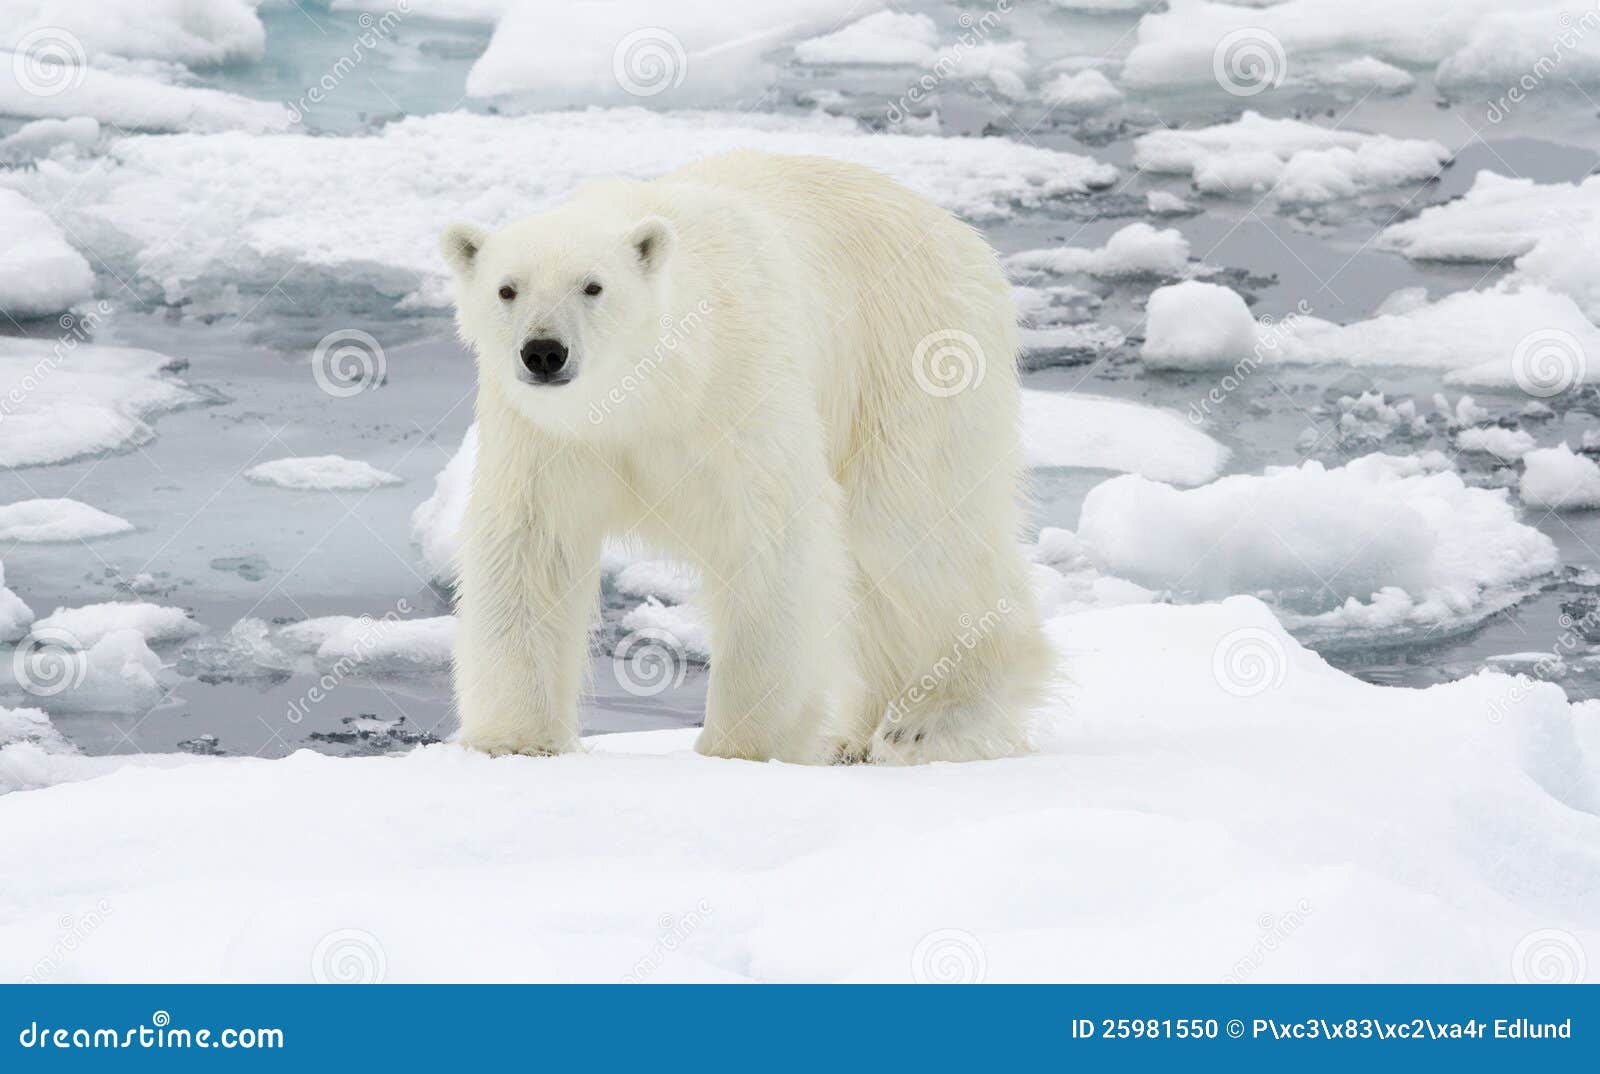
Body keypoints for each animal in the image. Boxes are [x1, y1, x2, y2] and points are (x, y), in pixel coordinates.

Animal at [440, 150, 1054, 765]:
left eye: (593, 286)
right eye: (507, 289)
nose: (544, 351)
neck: (652, 390)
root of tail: (961, 233)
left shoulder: (737, 387)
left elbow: (770, 535)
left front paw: (742, 745)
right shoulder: (544, 433)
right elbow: (530, 545)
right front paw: (512, 741)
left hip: (911, 352)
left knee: (911, 522)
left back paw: (931, 721)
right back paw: (855, 735)